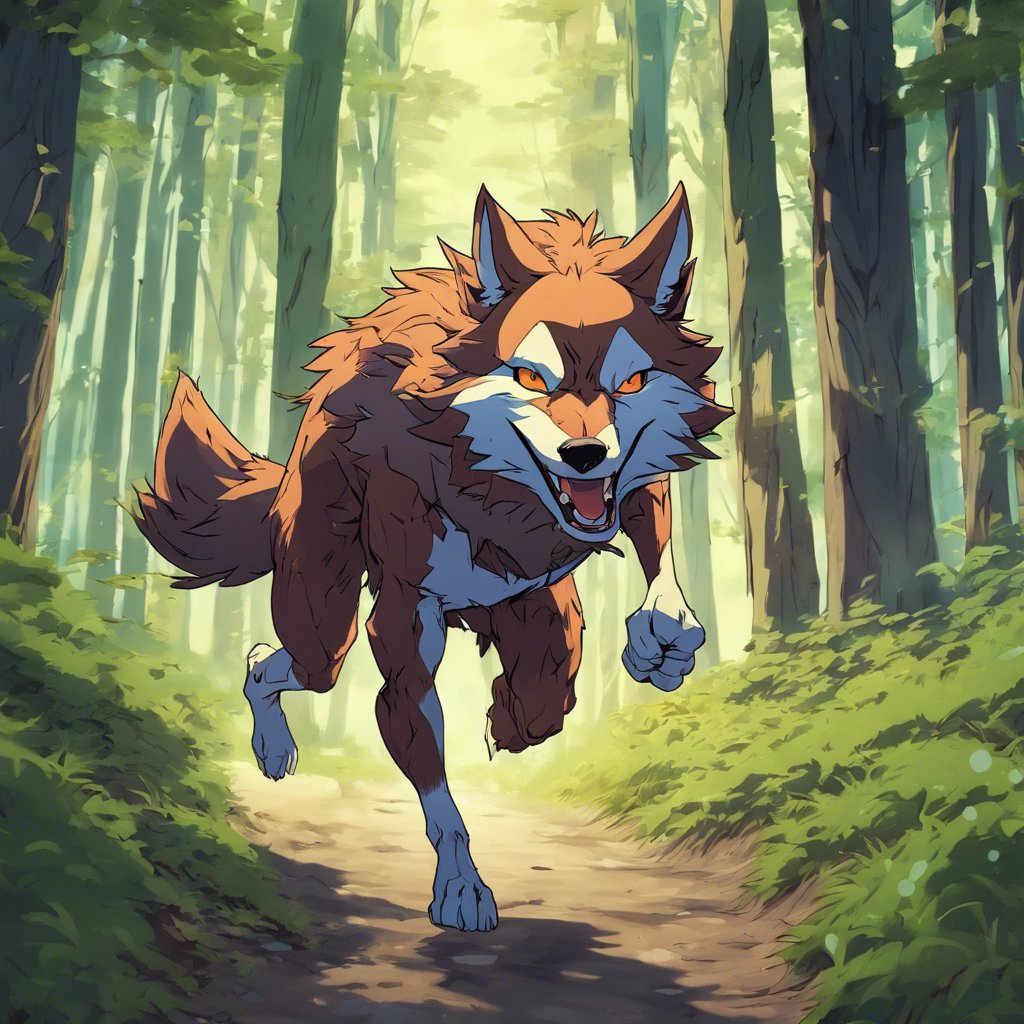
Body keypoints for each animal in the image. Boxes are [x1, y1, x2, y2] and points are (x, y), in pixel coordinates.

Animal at [134, 183, 730, 932]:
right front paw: (461, 887)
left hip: (538, 609)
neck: (498, 499)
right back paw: (274, 748)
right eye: (530, 376)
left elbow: (638, 563)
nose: (585, 455)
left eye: (630, 383)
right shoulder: (404, 626)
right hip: (324, 621)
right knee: (275, 664)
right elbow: (434, 778)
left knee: (549, 684)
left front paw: (658, 640)